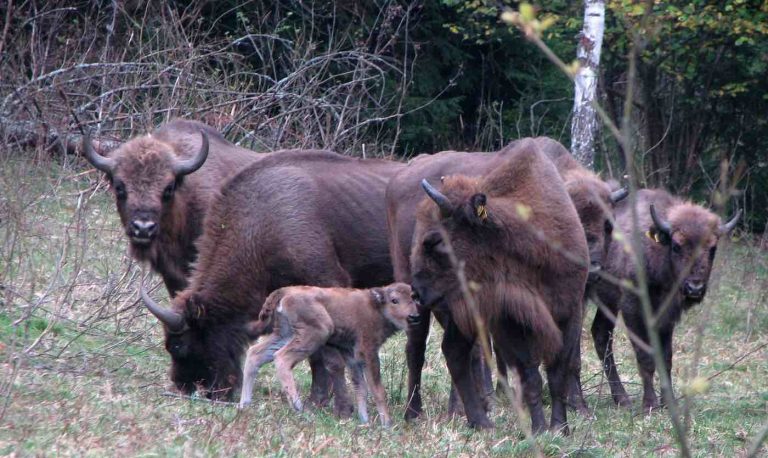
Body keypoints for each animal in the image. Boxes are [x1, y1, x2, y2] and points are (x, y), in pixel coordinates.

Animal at [409, 139, 588, 433]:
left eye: (435, 241)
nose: (417, 292)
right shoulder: (511, 320)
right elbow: (531, 376)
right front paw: (540, 429)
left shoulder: (570, 310)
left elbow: (558, 373)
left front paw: (560, 428)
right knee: (455, 352)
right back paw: (482, 422)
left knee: (455, 351)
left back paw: (480, 421)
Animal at [591, 188, 740, 412]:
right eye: (677, 246)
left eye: (712, 249)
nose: (695, 288)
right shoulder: (632, 310)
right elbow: (645, 356)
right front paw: (650, 404)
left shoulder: (667, 316)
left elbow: (666, 357)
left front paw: (669, 403)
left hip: (606, 302)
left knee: (600, 334)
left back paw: (621, 399)